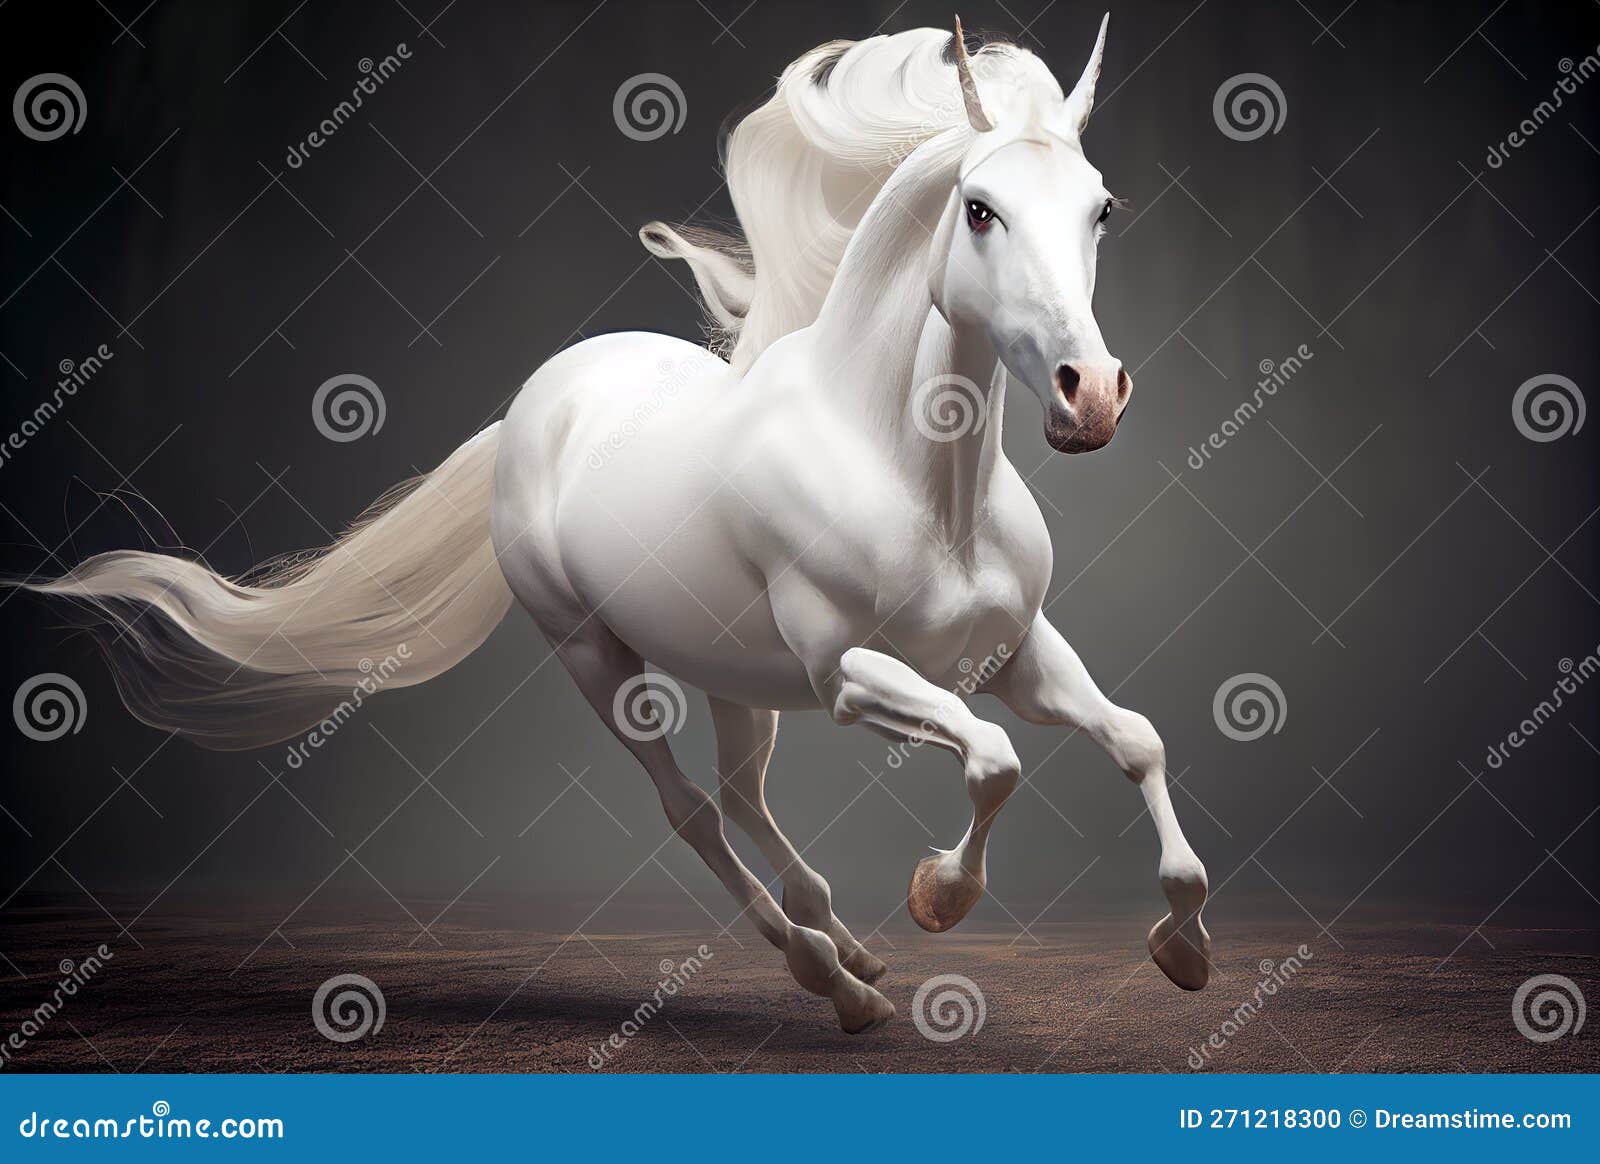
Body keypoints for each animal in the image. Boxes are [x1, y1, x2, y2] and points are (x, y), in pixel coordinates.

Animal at [18, 15, 1211, 1033]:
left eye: (1102, 209)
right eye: (978, 209)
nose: (1091, 397)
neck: (911, 479)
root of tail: (532, 407)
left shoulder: (1012, 653)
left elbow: (1134, 739)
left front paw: (1186, 949)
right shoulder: (849, 677)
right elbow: (995, 761)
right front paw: (940, 894)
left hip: (734, 676)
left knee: (740, 798)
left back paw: (852, 951)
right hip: (594, 657)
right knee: (692, 813)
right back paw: (833, 979)